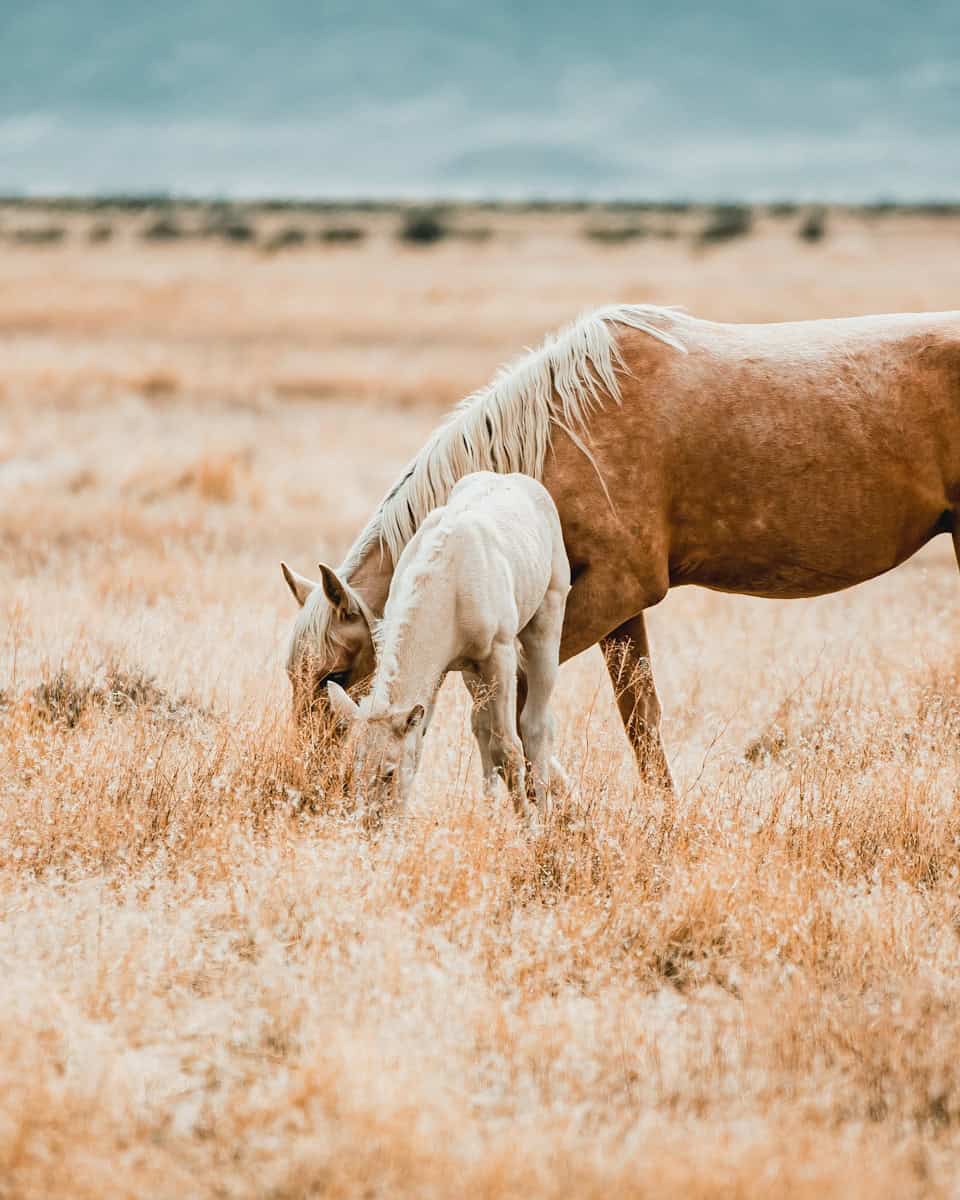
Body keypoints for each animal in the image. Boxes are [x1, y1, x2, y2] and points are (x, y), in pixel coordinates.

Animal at [325, 472, 569, 820]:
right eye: (354, 769)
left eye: (388, 772)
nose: (371, 824)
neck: (450, 579)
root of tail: (522, 482)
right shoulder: (439, 672)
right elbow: (422, 746)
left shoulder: (500, 656)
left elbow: (508, 747)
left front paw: (529, 826)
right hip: (473, 674)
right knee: (482, 729)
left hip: (547, 615)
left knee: (536, 725)